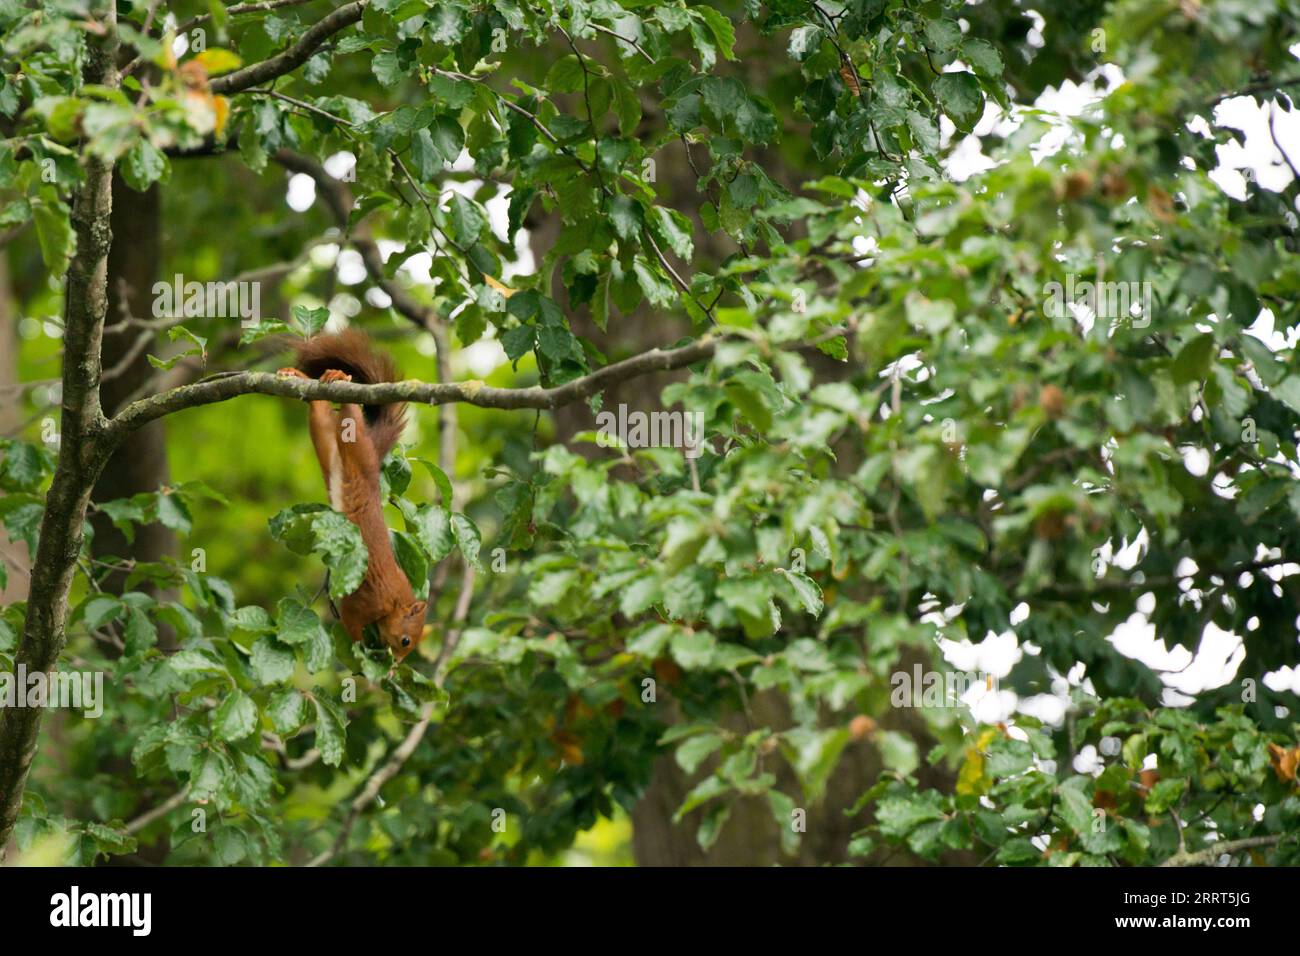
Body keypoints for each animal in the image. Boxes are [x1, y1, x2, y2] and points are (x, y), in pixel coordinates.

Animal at [278, 330, 427, 662]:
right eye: (406, 641)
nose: (396, 663)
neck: (395, 601)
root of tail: (373, 467)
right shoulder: (366, 601)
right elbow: (351, 621)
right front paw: (363, 651)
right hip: (356, 446)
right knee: (351, 412)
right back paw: (337, 376)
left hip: (330, 449)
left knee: (319, 413)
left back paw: (306, 378)